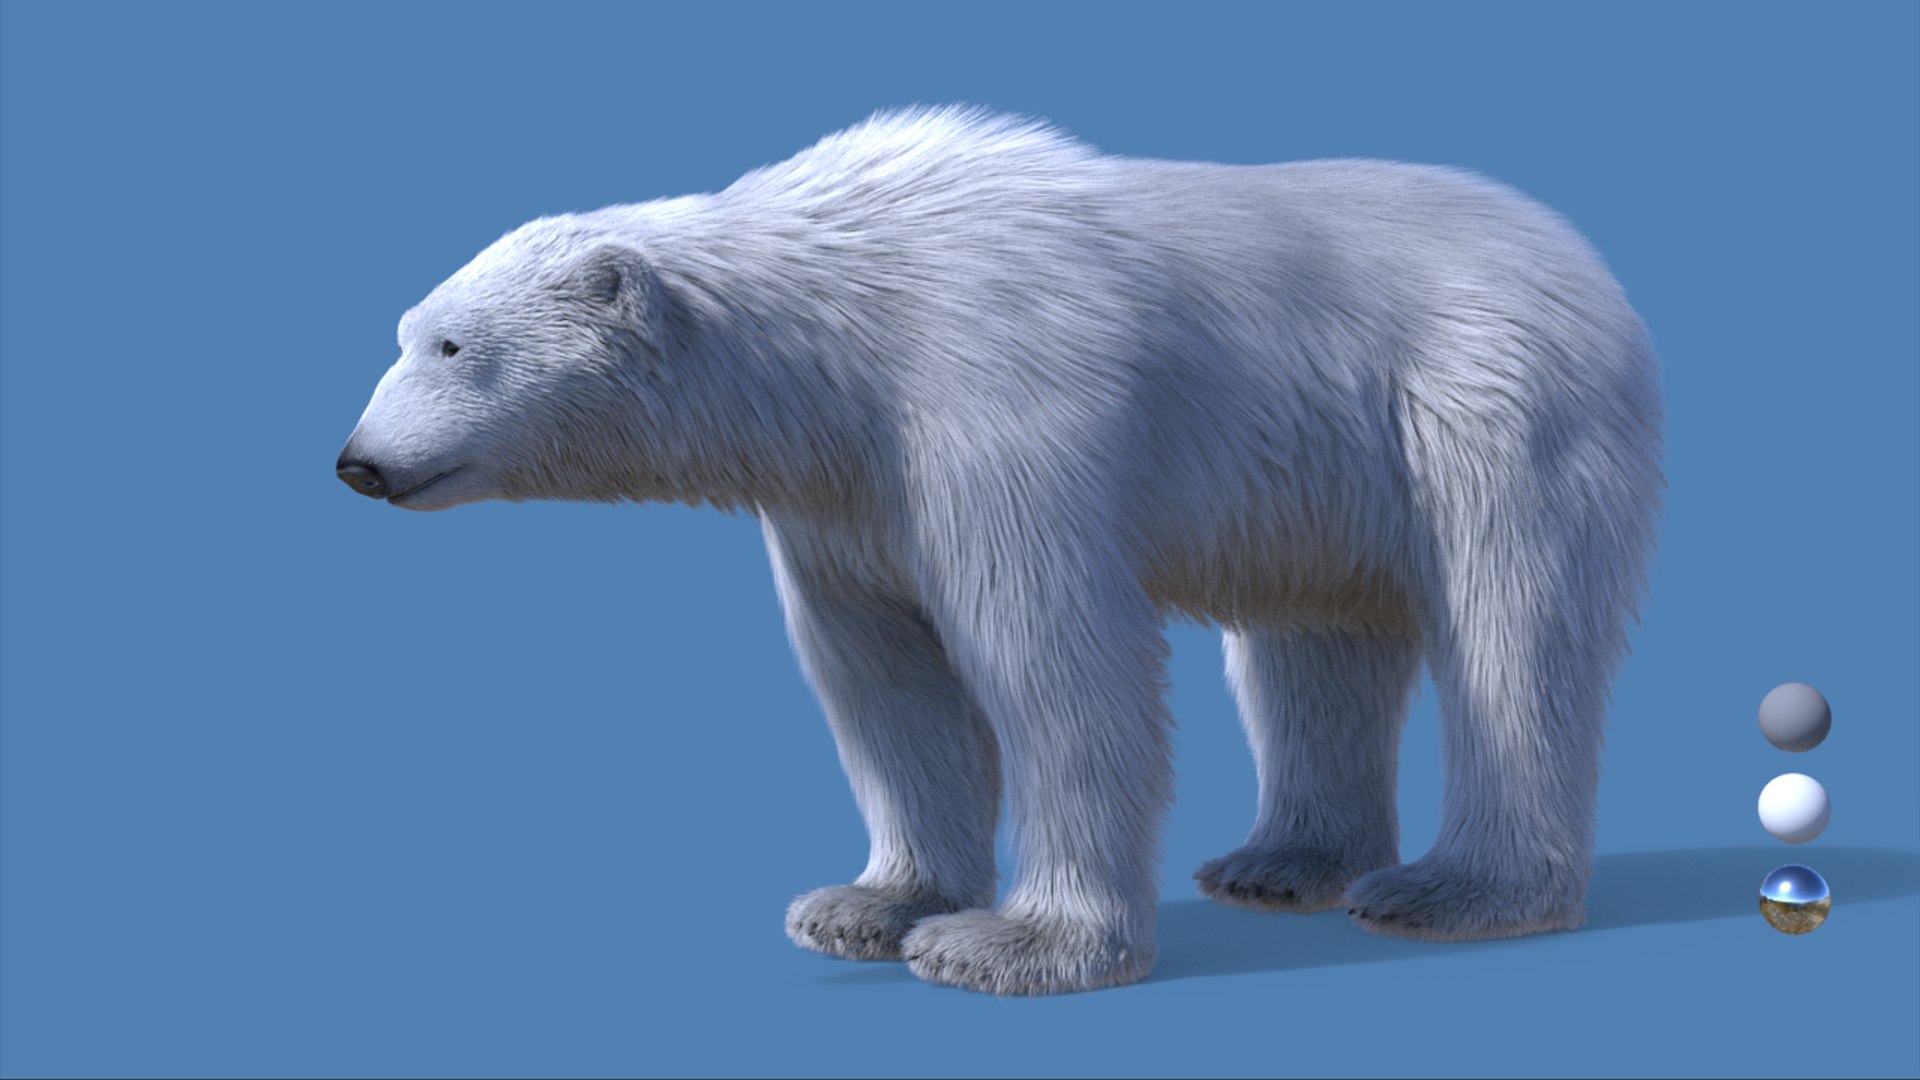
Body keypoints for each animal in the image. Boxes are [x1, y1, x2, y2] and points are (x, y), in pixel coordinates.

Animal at [338, 106, 1663, 996]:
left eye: (452, 346)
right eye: (407, 330)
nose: (357, 461)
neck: (845, 315)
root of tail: (1594, 271)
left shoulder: (990, 399)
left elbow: (1052, 655)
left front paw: (1015, 944)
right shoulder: (844, 487)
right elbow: (882, 675)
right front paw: (869, 905)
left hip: (1488, 405)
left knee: (1511, 638)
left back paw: (1456, 893)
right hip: (1320, 478)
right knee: (1314, 646)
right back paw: (1283, 865)